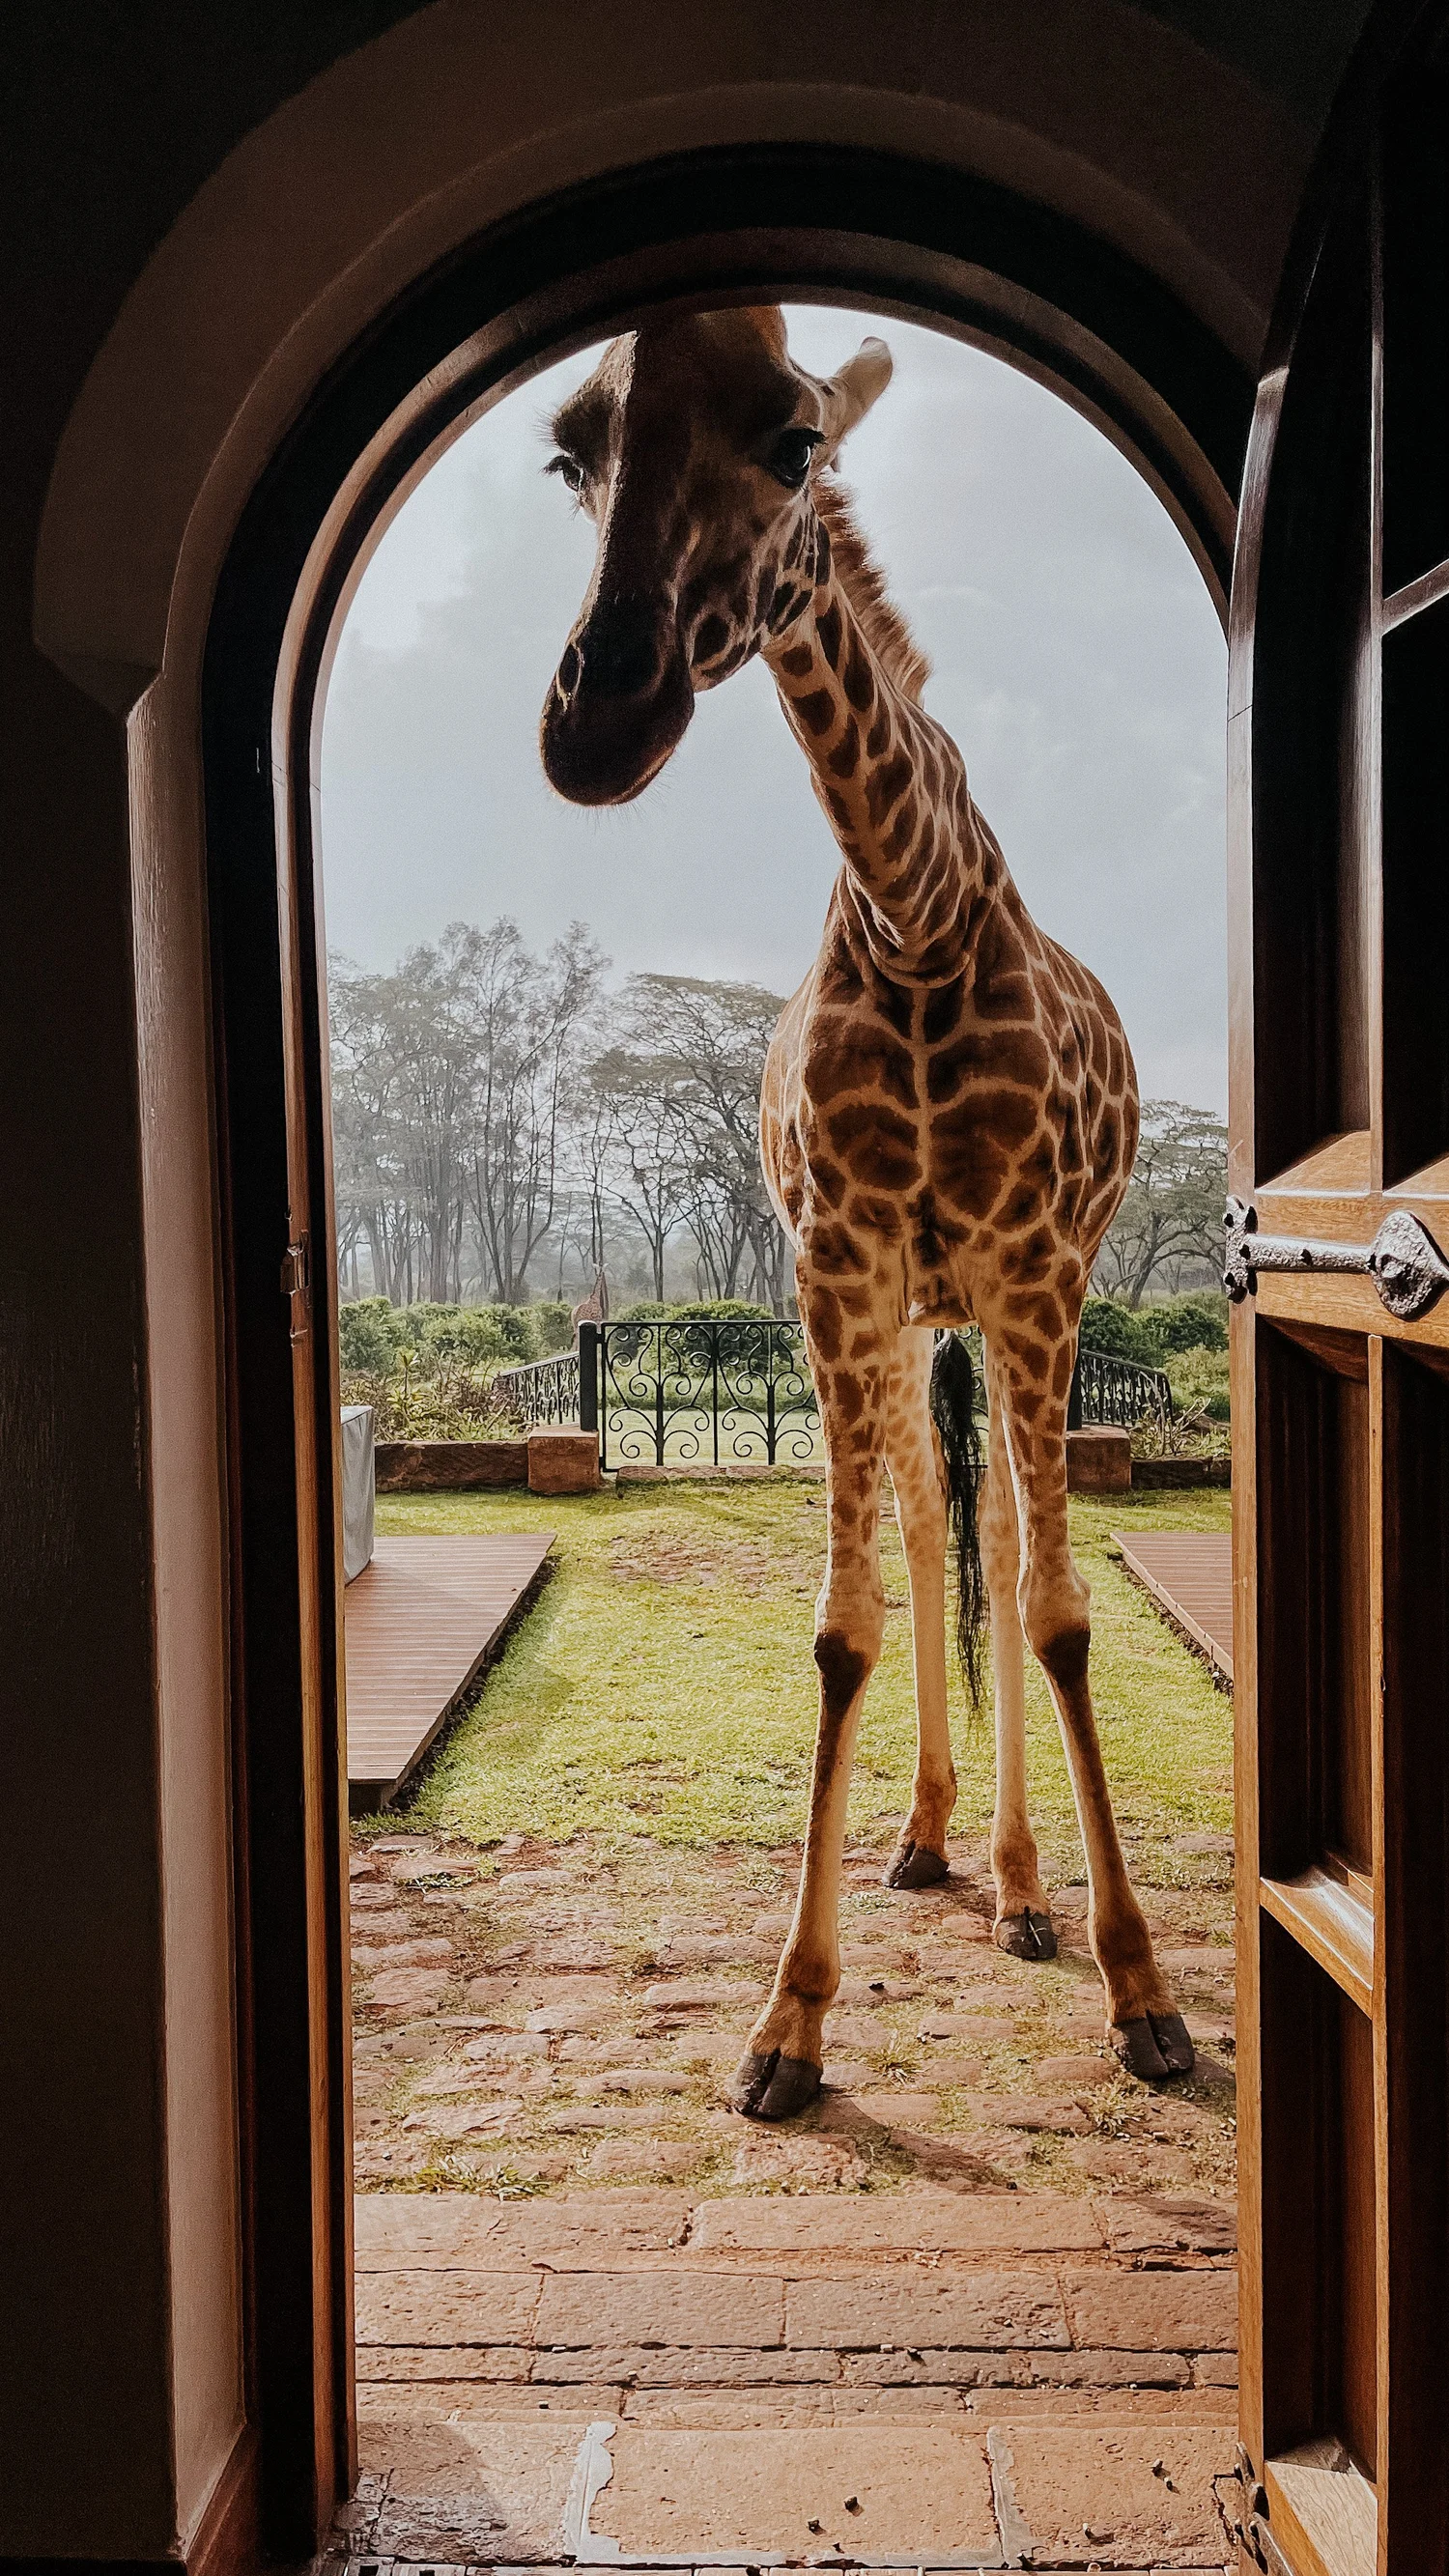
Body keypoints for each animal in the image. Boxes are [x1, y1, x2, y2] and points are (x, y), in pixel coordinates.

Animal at [539, 306, 1194, 2114]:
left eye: (796, 443)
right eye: (570, 452)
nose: (600, 716)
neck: (915, 903)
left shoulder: (1034, 1270)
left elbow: (1056, 1607)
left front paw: (1140, 1988)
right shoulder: (836, 1272)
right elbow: (846, 1622)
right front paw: (789, 2020)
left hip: (1003, 1300)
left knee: (1005, 1541)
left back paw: (1030, 1889)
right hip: (914, 1317)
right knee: (923, 1524)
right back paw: (928, 1837)